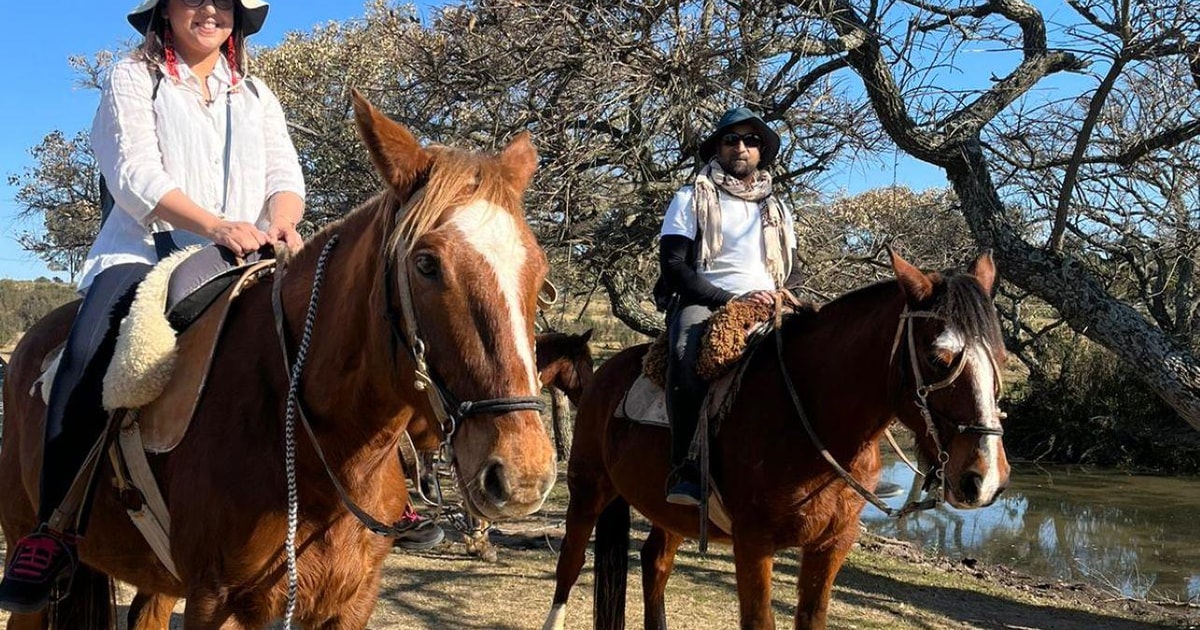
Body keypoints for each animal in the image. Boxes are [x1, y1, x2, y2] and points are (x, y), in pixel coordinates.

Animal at [543, 250, 1010, 630]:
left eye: (1001, 357)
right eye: (938, 359)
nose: (984, 478)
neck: (813, 421)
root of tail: (606, 374)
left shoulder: (831, 545)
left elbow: (812, 617)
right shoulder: (754, 544)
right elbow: (758, 619)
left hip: (668, 512)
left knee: (655, 563)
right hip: (587, 490)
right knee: (570, 564)